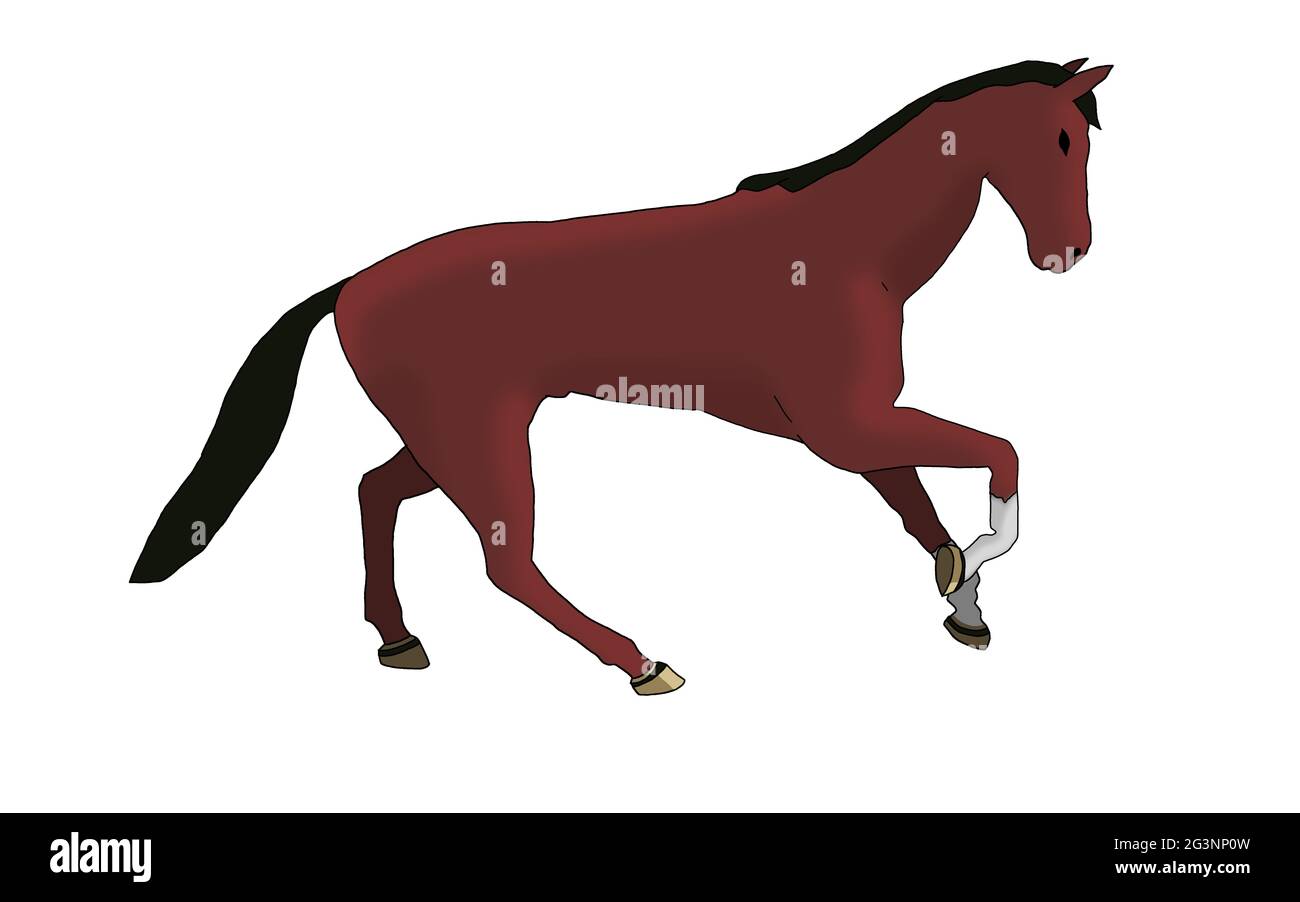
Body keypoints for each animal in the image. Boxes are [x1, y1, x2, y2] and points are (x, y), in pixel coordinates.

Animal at [131, 58, 1113, 695]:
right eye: (1060, 139)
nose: (1068, 252)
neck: (849, 250)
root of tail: (349, 287)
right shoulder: (844, 425)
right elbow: (999, 453)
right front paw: (977, 566)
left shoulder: (848, 424)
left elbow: (914, 505)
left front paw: (963, 601)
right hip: (479, 439)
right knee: (506, 561)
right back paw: (643, 663)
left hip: (445, 439)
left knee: (376, 490)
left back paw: (400, 640)